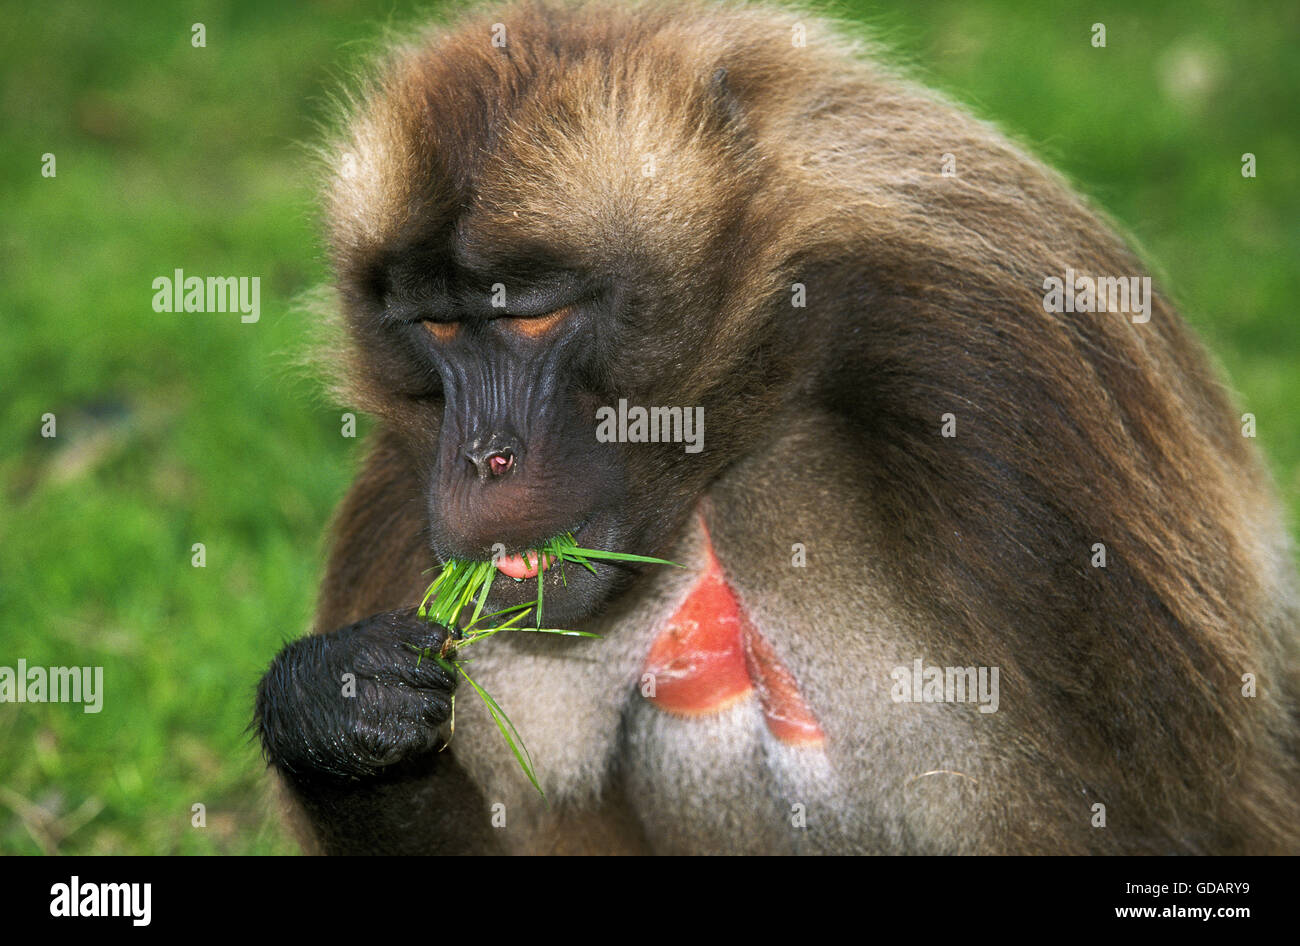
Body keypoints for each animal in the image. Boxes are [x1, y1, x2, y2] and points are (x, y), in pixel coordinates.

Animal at [254, 0, 1300, 854]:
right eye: (435, 326)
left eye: (532, 318)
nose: (480, 462)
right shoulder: (407, 479)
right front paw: (340, 709)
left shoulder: (1011, 416)